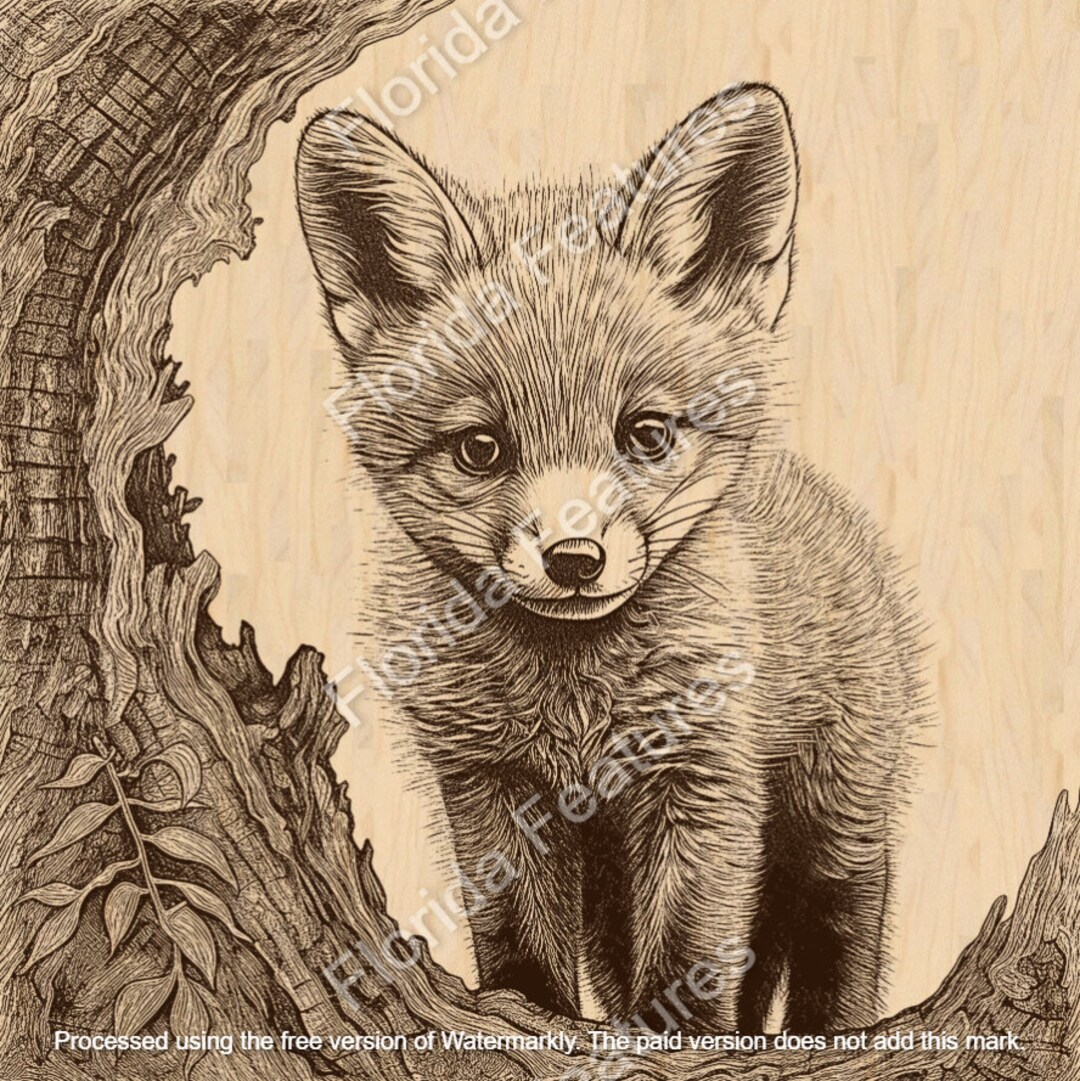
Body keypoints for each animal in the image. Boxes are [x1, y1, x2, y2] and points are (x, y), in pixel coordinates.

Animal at [296, 83, 924, 1034]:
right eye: (480, 448)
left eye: (647, 434)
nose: (575, 558)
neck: (576, 697)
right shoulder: (488, 782)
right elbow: (519, 938)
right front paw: (530, 1010)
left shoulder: (704, 775)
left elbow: (692, 952)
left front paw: (681, 1041)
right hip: (606, 880)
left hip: (833, 805)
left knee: (838, 923)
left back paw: (827, 1027)